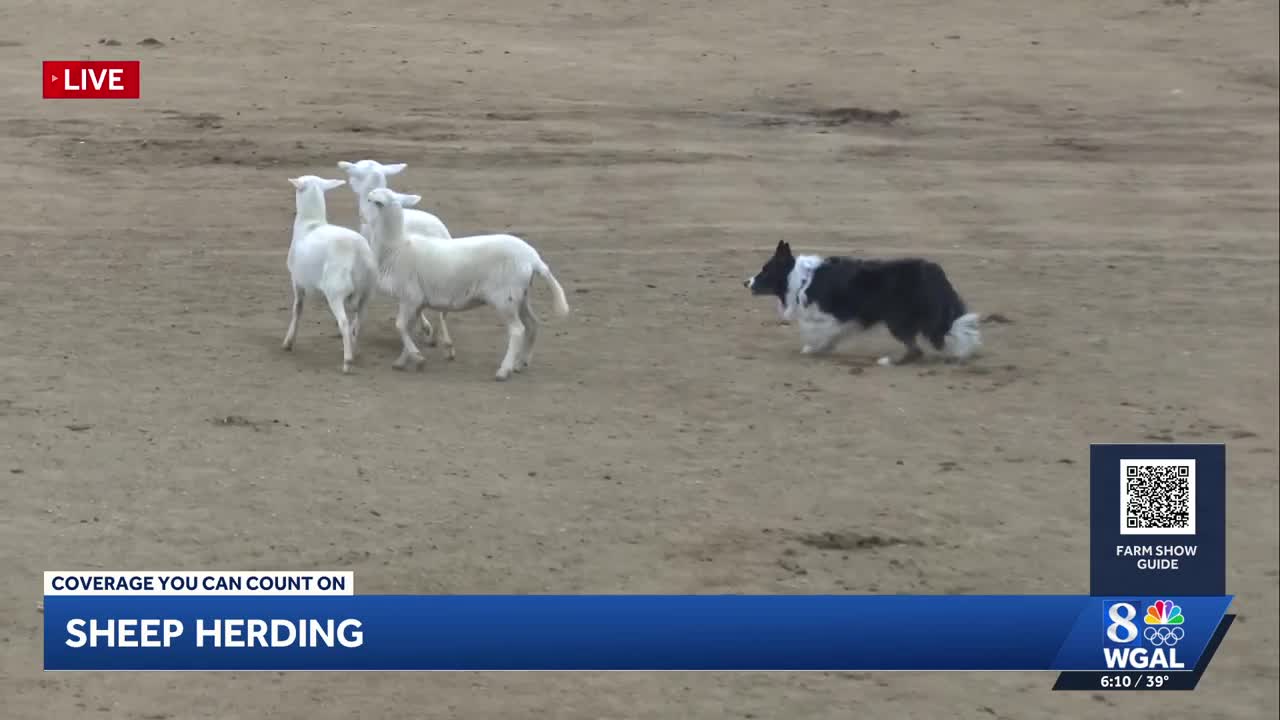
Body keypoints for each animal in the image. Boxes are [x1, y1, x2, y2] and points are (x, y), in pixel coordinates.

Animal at [281, 175, 379, 374]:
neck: (311, 224)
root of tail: (358, 253)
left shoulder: (297, 282)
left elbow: (297, 309)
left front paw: (288, 342)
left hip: (335, 292)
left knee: (344, 323)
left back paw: (347, 361)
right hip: (368, 293)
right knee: (360, 322)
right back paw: (355, 352)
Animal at [364, 187, 571, 380]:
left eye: (370, 200)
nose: (362, 217)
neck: (396, 247)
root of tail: (533, 259)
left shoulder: (410, 296)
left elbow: (400, 325)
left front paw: (417, 357)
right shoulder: (416, 301)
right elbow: (408, 327)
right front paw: (403, 360)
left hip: (506, 298)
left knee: (518, 330)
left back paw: (504, 370)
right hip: (521, 295)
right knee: (533, 324)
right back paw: (521, 363)